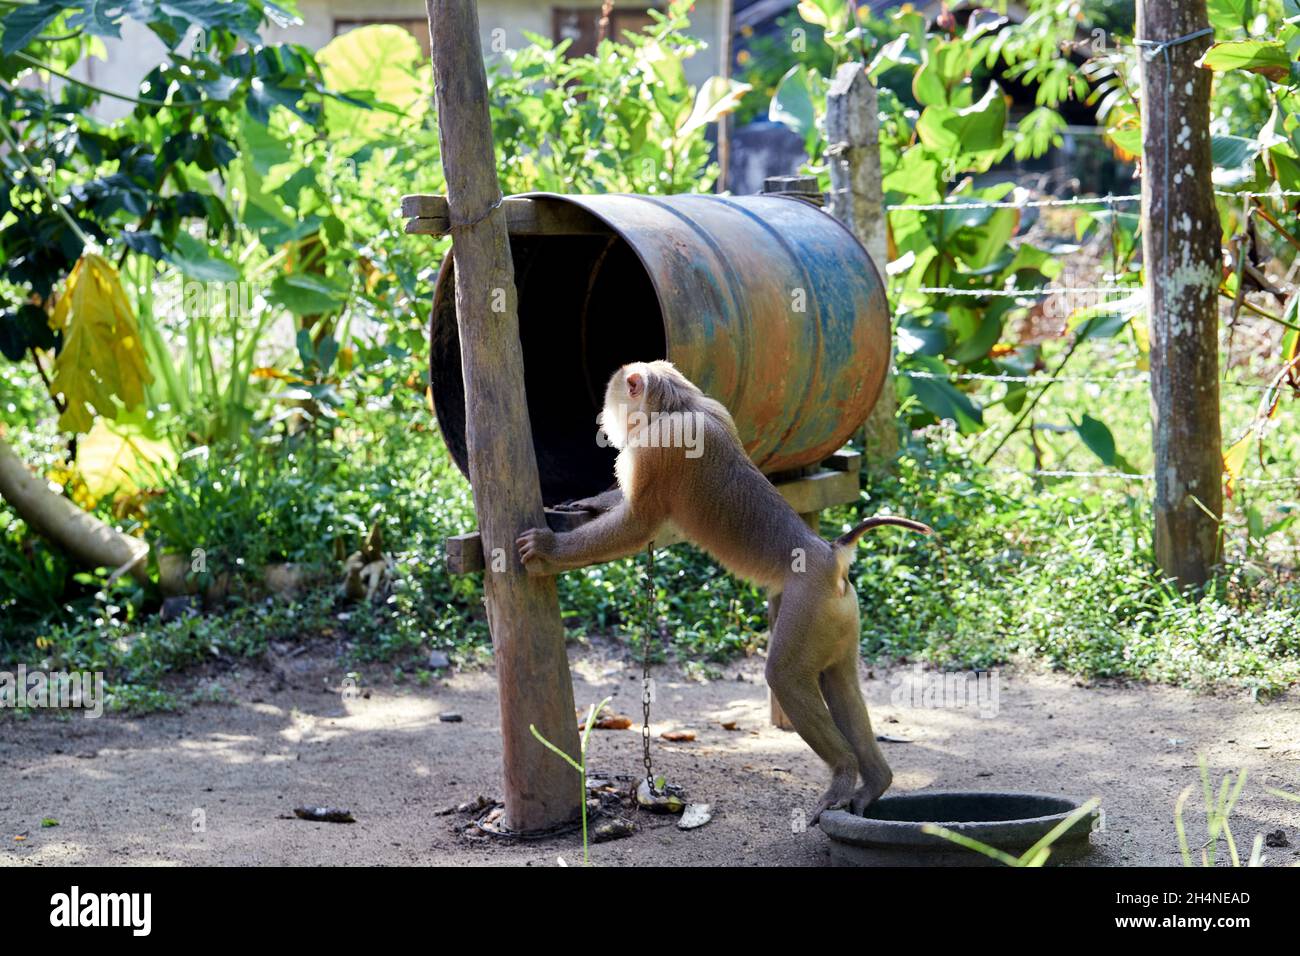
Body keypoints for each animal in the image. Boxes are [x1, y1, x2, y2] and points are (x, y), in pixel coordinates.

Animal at [516, 360, 932, 823]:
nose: (604, 422)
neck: (678, 405)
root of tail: (831, 554)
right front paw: (589, 503)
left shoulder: (659, 450)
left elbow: (638, 524)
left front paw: (549, 550)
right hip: (840, 614)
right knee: (838, 678)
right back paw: (875, 778)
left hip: (810, 604)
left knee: (785, 676)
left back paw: (844, 772)